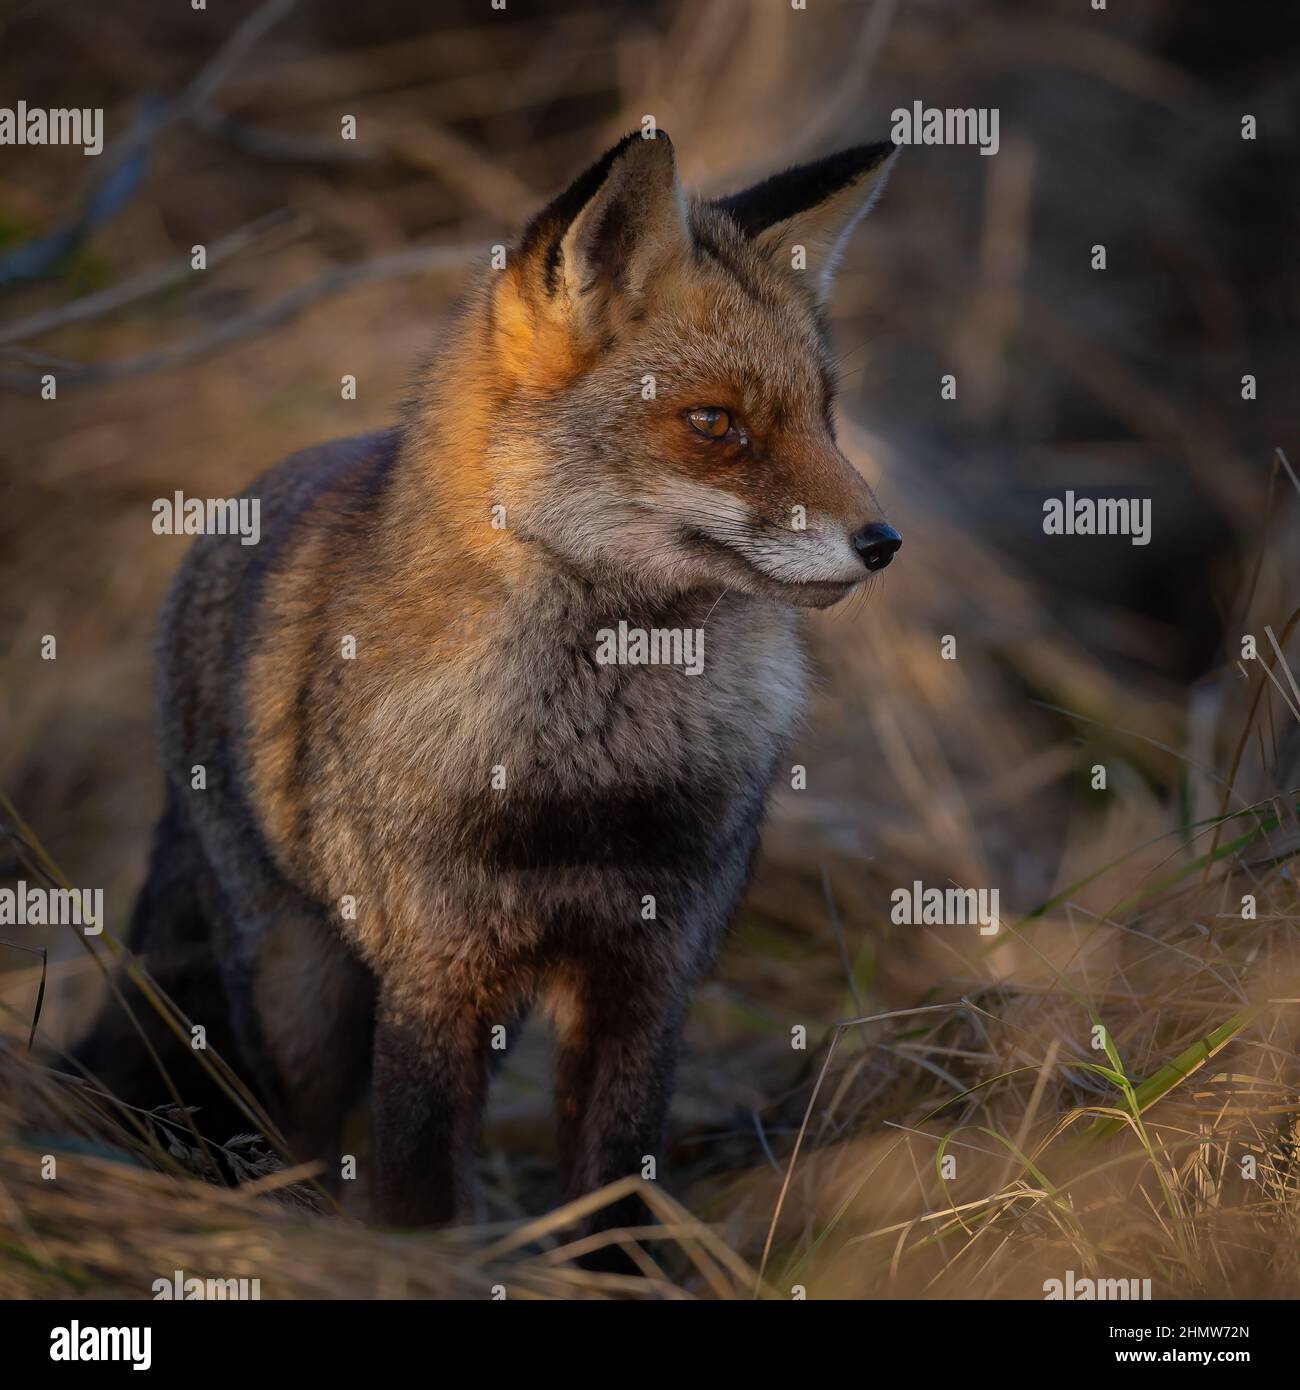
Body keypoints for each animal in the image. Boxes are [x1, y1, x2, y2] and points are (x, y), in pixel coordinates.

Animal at [76, 131, 903, 1251]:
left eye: (824, 415)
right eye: (714, 424)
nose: (883, 542)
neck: (592, 772)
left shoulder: (647, 977)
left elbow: (616, 1194)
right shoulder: (436, 974)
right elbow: (420, 1184)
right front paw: (426, 1260)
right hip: (300, 991)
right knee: (296, 1135)